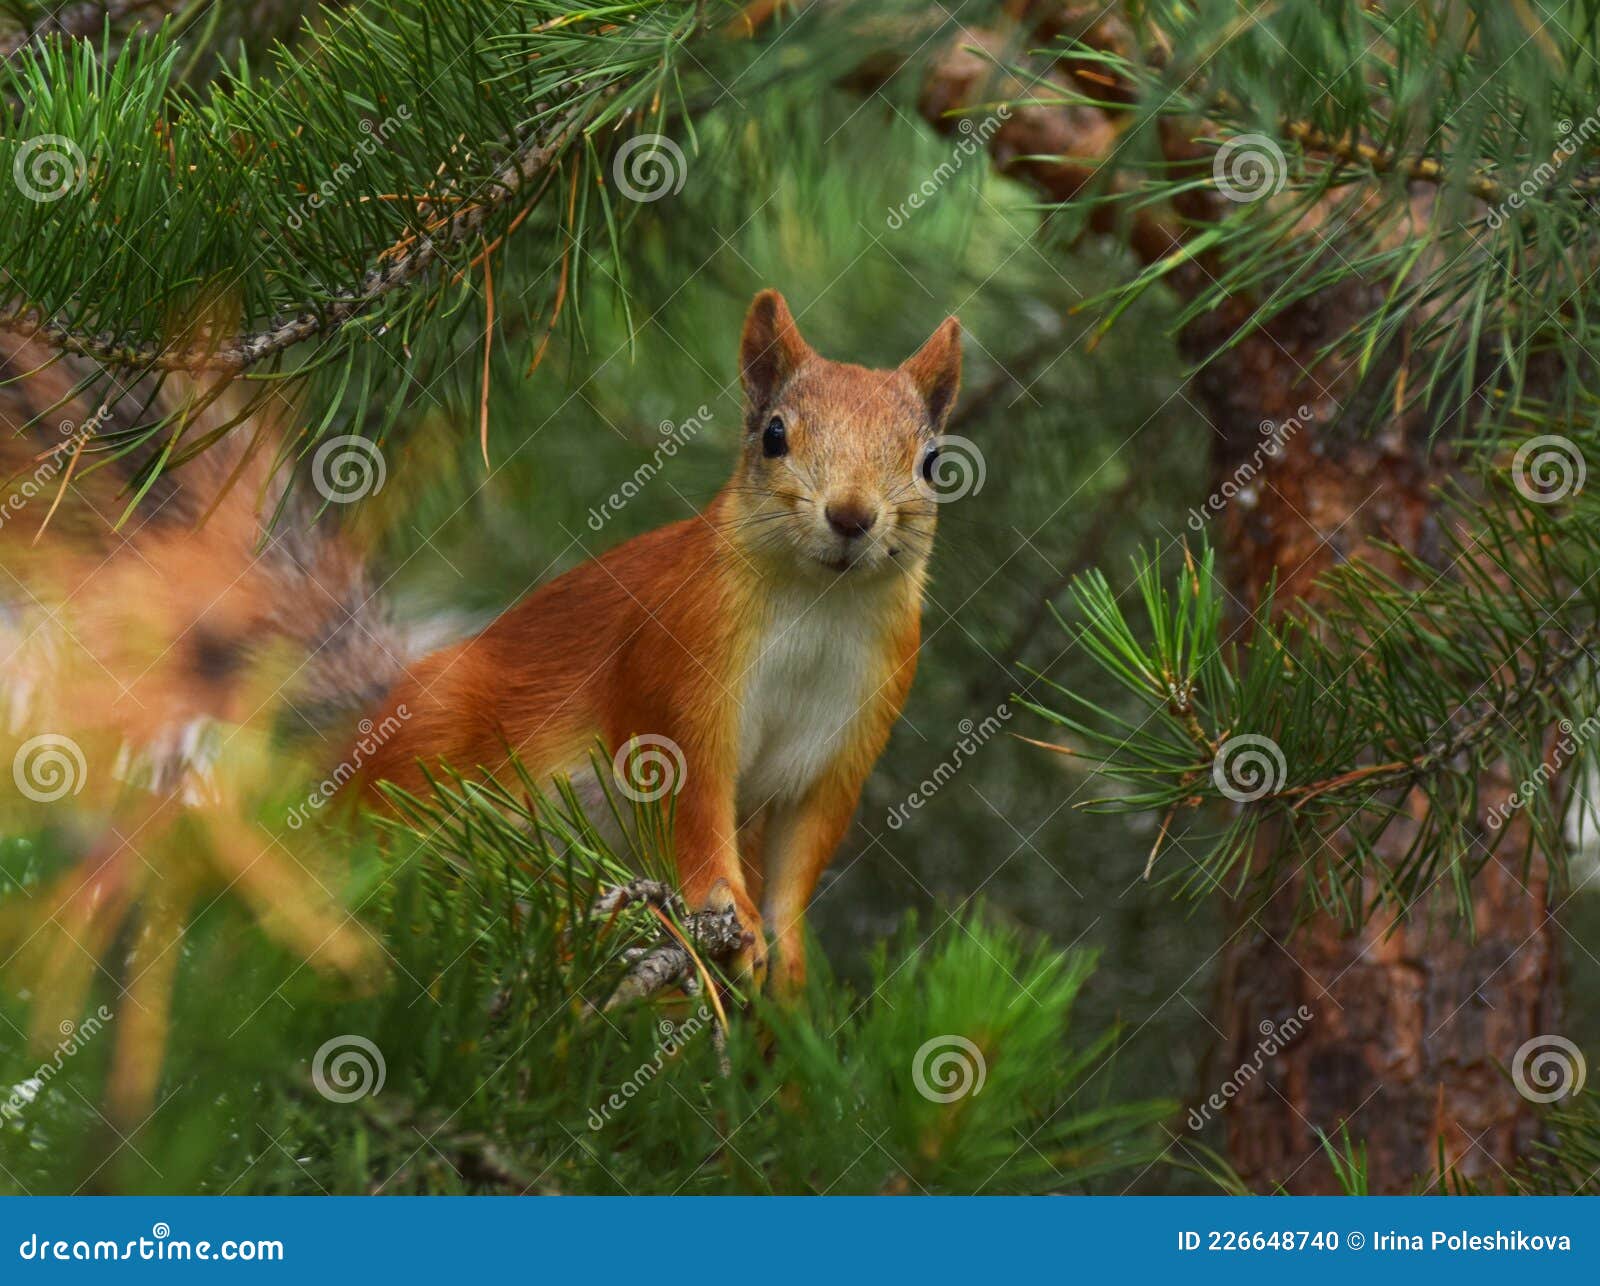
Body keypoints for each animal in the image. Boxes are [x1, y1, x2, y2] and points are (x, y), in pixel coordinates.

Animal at [360, 291, 962, 991]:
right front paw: (733, 917)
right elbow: (693, 812)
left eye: (933, 462)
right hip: (428, 737)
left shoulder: (844, 745)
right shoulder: (677, 675)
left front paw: (790, 964)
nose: (851, 515)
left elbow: (802, 854)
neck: (820, 605)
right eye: (774, 436)